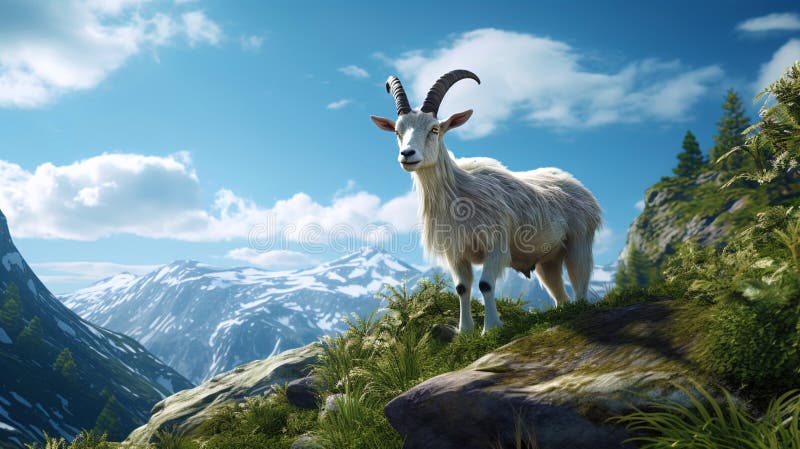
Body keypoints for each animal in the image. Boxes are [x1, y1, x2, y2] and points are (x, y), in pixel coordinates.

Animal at [371, 70, 602, 334]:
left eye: (435, 129)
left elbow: (485, 285)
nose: (407, 155)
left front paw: (490, 328)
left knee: (580, 278)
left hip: (579, 240)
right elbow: (462, 288)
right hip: (548, 258)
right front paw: (465, 331)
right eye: (397, 131)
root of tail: (577, 185)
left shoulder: (495, 245)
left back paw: (579, 306)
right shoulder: (456, 253)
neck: (459, 191)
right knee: (557, 289)